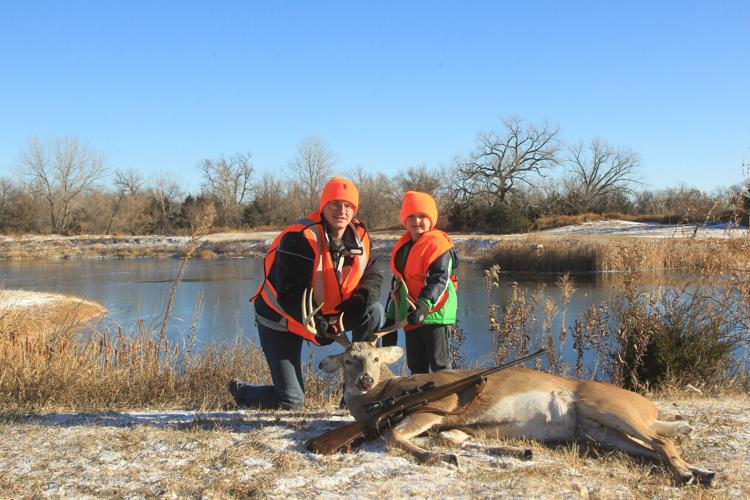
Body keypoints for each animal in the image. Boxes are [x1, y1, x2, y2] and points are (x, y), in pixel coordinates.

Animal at [301, 291, 715, 486]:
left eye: (374, 358)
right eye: (349, 360)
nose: (365, 380)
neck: (386, 393)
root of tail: (650, 407)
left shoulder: (441, 402)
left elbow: (393, 436)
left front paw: (442, 459)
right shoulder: (454, 423)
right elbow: (452, 437)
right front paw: (460, 452)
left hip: (609, 408)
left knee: (662, 441)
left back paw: (687, 475)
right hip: (598, 430)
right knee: (654, 447)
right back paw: (701, 473)